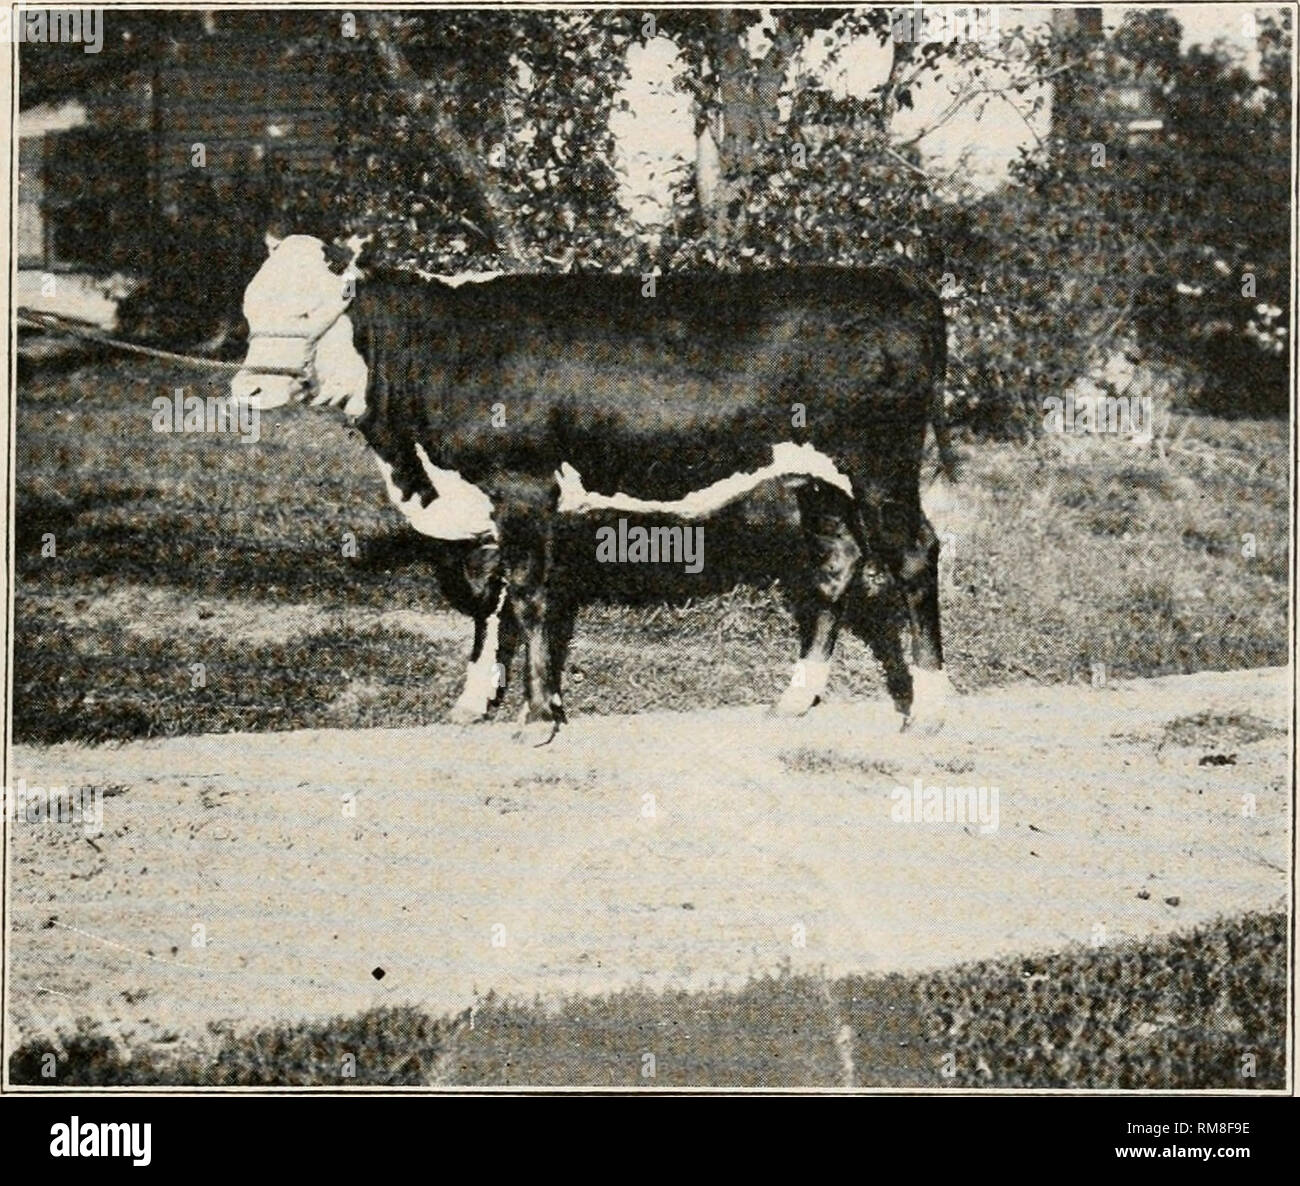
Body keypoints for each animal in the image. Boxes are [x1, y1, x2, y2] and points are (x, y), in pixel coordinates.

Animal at [229, 233, 956, 744]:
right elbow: (487, 605)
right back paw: (797, 696)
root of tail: (898, 280)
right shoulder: (484, 502)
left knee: (916, 556)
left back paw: (928, 708)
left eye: (308, 308)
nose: (248, 389)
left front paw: (537, 716)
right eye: (247, 306)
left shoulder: (523, 488)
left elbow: (528, 599)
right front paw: (475, 700)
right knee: (837, 564)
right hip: (820, 480)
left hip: (880, 464)